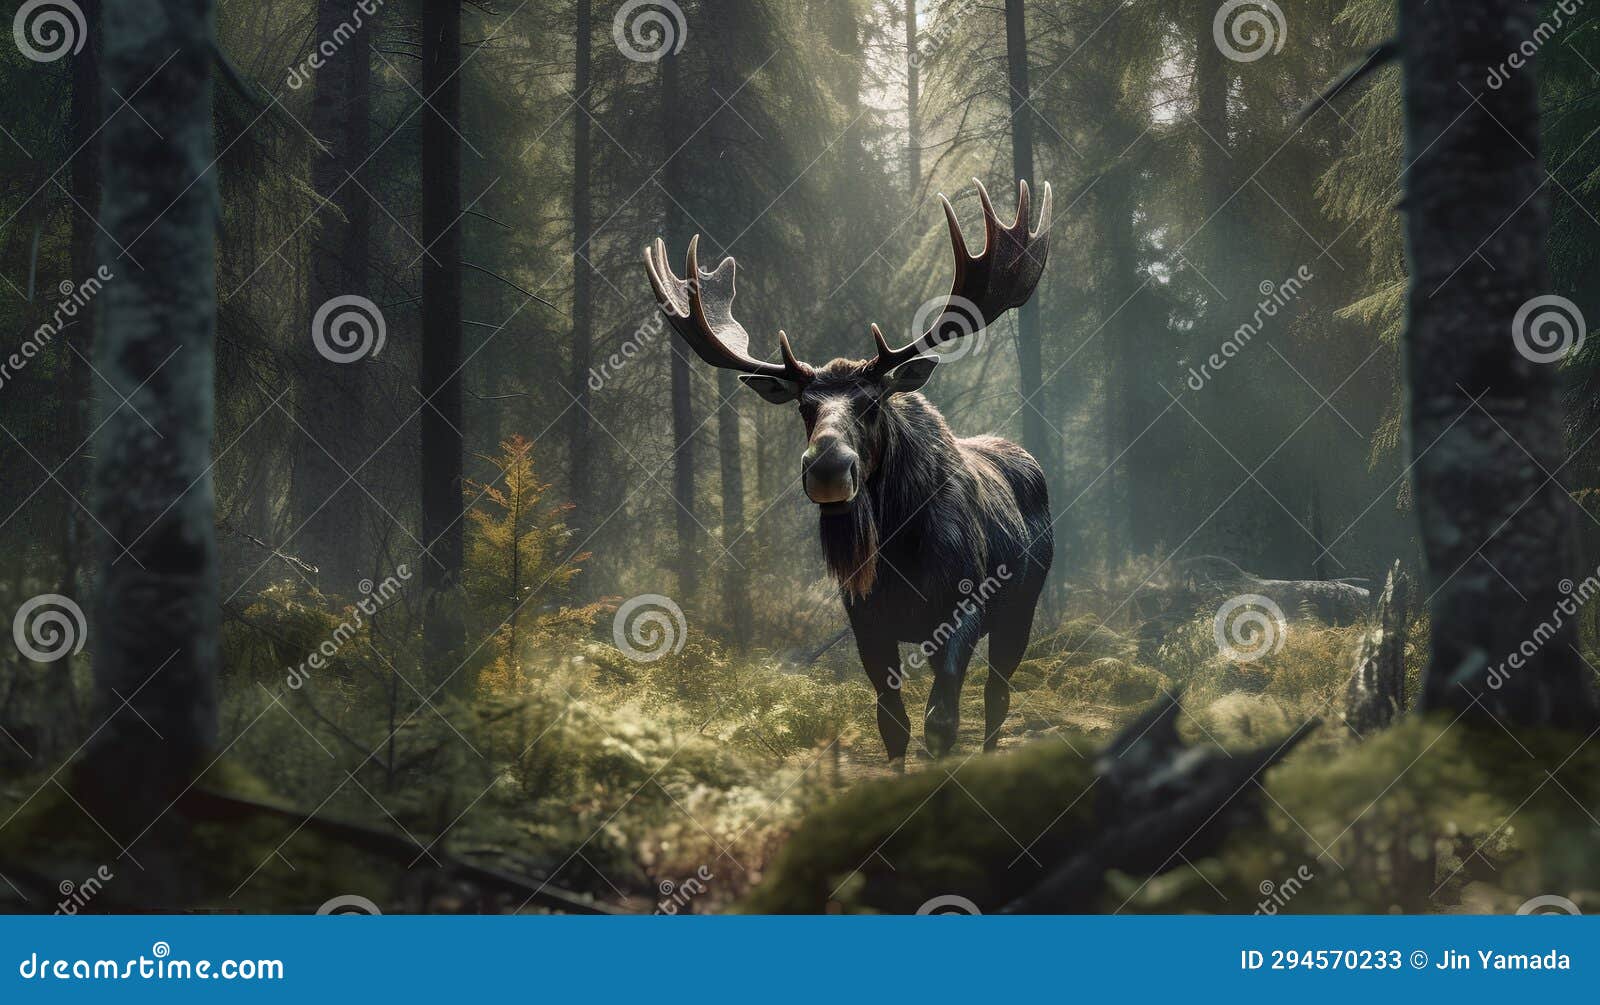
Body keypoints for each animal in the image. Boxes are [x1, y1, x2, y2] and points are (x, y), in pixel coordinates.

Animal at [644, 179, 1052, 766]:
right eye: (803, 407)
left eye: (873, 401)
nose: (828, 467)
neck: (900, 550)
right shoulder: (866, 623)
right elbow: (893, 726)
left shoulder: (965, 606)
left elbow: (941, 722)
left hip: (1022, 606)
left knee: (998, 696)